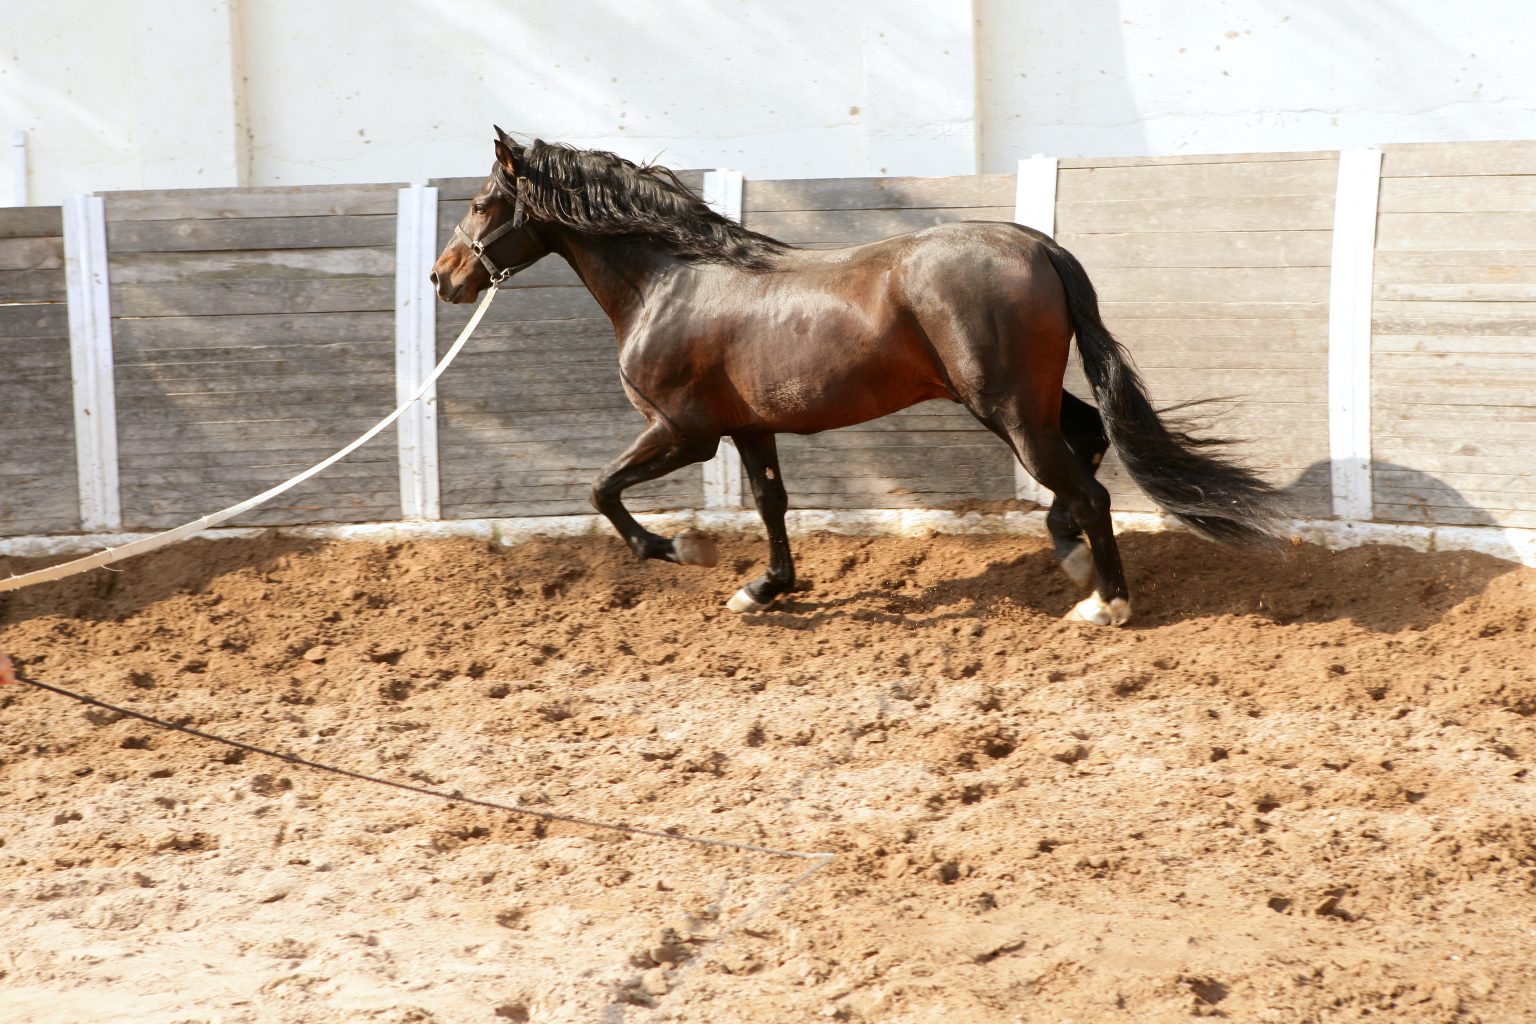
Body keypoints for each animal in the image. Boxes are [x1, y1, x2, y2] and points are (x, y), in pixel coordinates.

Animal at [430, 128, 1287, 626]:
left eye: (482, 201)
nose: (444, 278)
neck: (669, 283)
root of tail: (1036, 243)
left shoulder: (683, 432)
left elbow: (602, 489)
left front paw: (682, 549)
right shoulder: (749, 428)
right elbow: (772, 504)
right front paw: (763, 587)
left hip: (1006, 406)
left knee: (1089, 486)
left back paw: (1105, 602)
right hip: (1028, 401)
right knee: (1088, 442)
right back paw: (1068, 553)